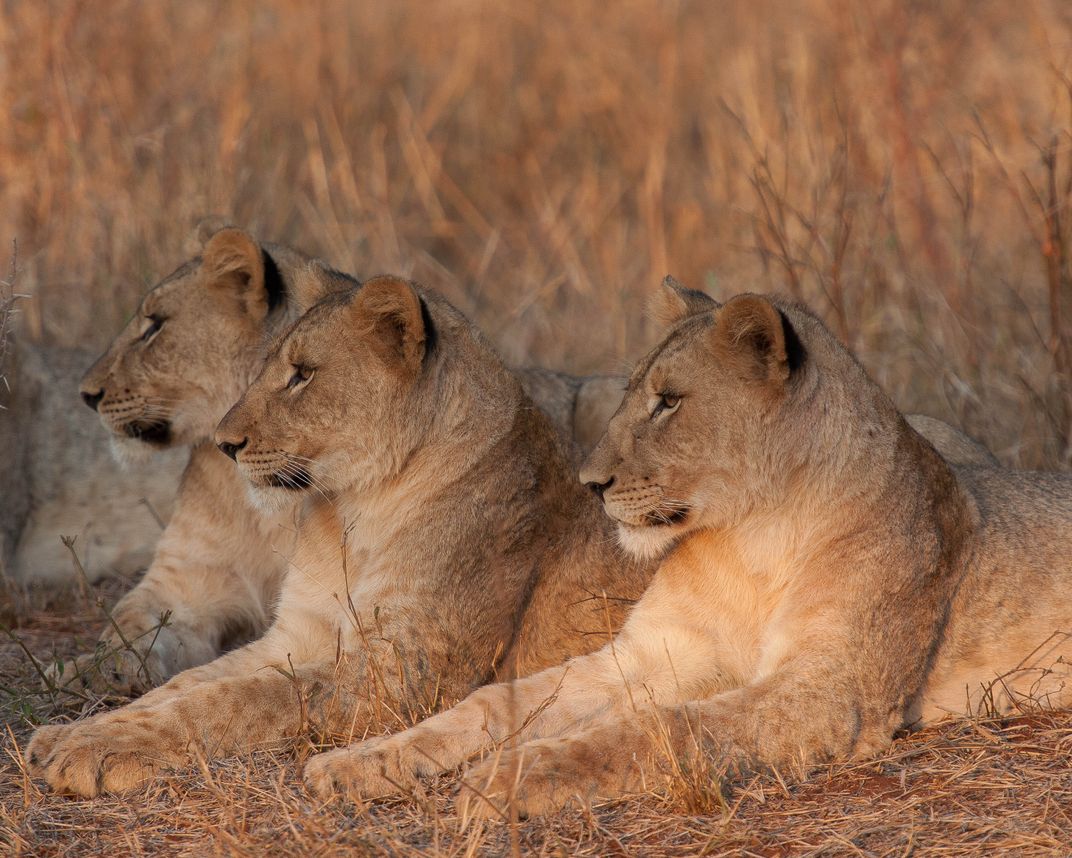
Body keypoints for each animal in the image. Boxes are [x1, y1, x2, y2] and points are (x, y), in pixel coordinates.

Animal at [26, 275, 657, 796]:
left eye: (302, 374)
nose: (226, 444)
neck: (353, 511)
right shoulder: (296, 634)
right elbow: (185, 684)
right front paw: (69, 733)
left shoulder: (407, 674)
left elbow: (240, 699)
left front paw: (95, 750)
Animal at [311, 279, 1072, 820]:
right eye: (629, 394)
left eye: (669, 401)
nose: (590, 483)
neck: (750, 539)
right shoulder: (650, 654)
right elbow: (491, 702)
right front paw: (357, 763)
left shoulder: (828, 693)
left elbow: (660, 729)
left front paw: (506, 777)